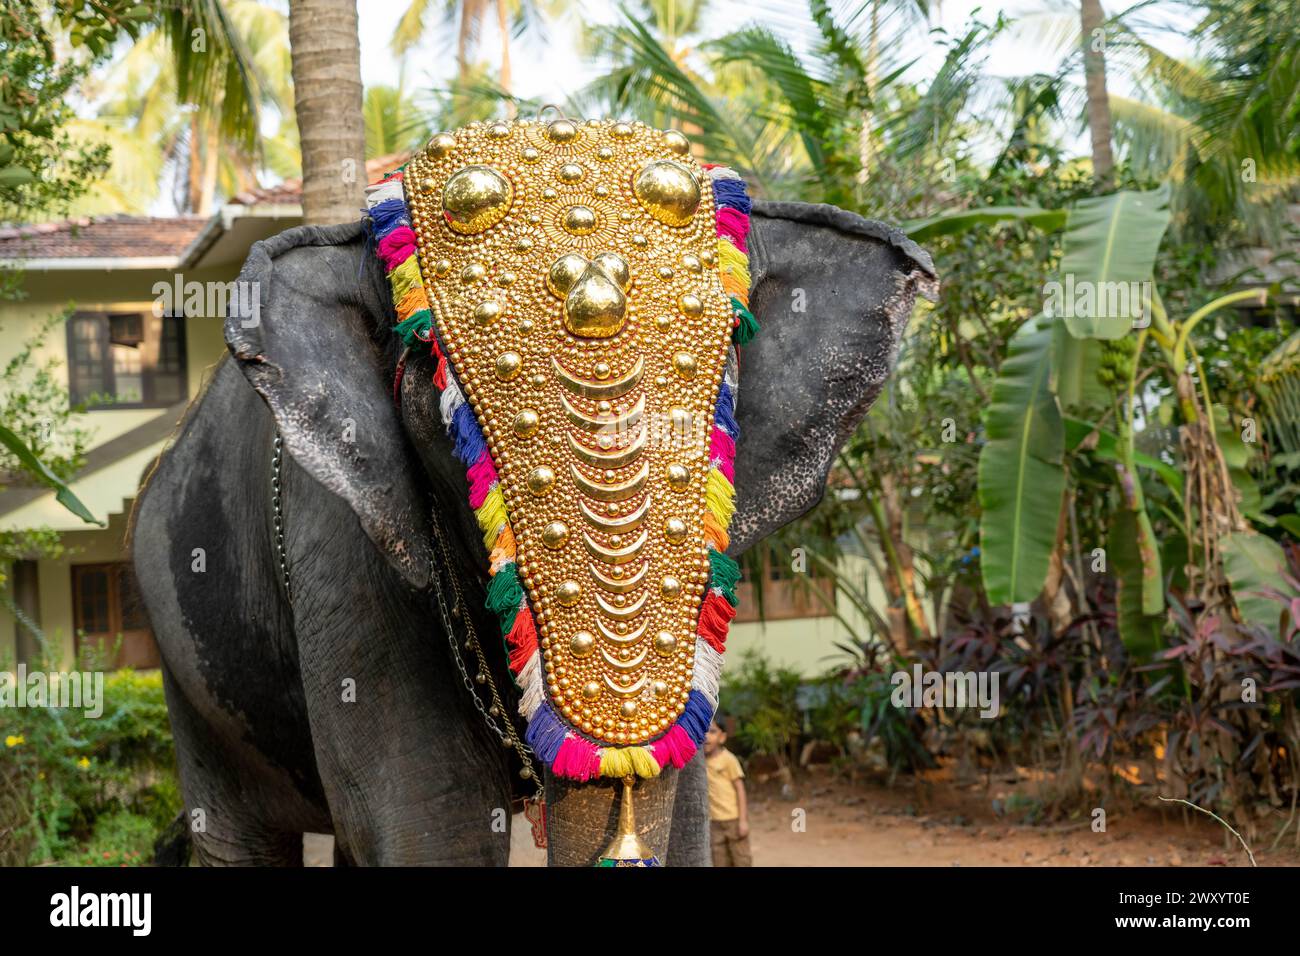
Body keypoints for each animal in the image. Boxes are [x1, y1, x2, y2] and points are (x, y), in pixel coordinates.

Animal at [130, 199, 936, 866]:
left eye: (725, 384)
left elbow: (684, 819)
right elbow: (433, 826)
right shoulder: (340, 541)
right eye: (446, 392)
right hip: (183, 663)